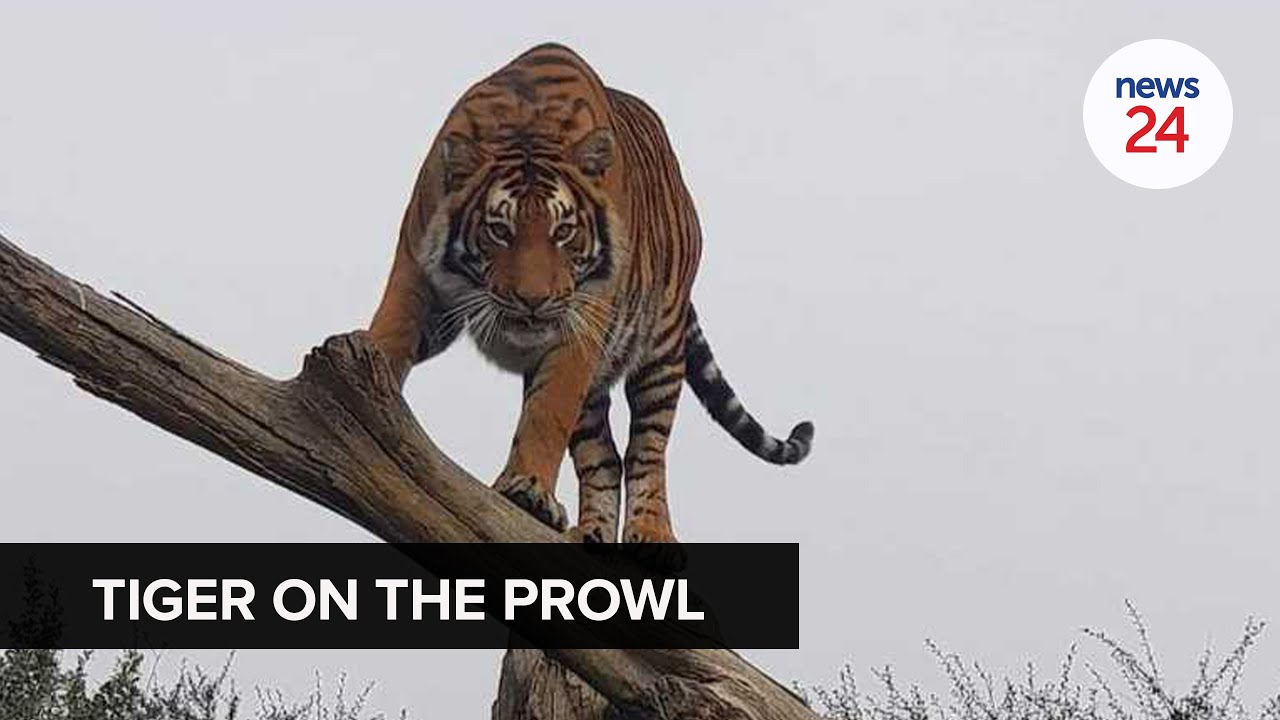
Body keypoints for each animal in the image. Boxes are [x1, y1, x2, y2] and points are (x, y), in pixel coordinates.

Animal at [368, 43, 813, 553]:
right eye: (499, 230)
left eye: (563, 232)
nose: (533, 300)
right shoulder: (416, 272)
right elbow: (390, 334)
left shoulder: (580, 324)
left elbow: (547, 413)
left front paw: (527, 491)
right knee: (604, 456)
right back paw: (591, 532)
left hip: (661, 350)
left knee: (645, 449)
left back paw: (651, 532)